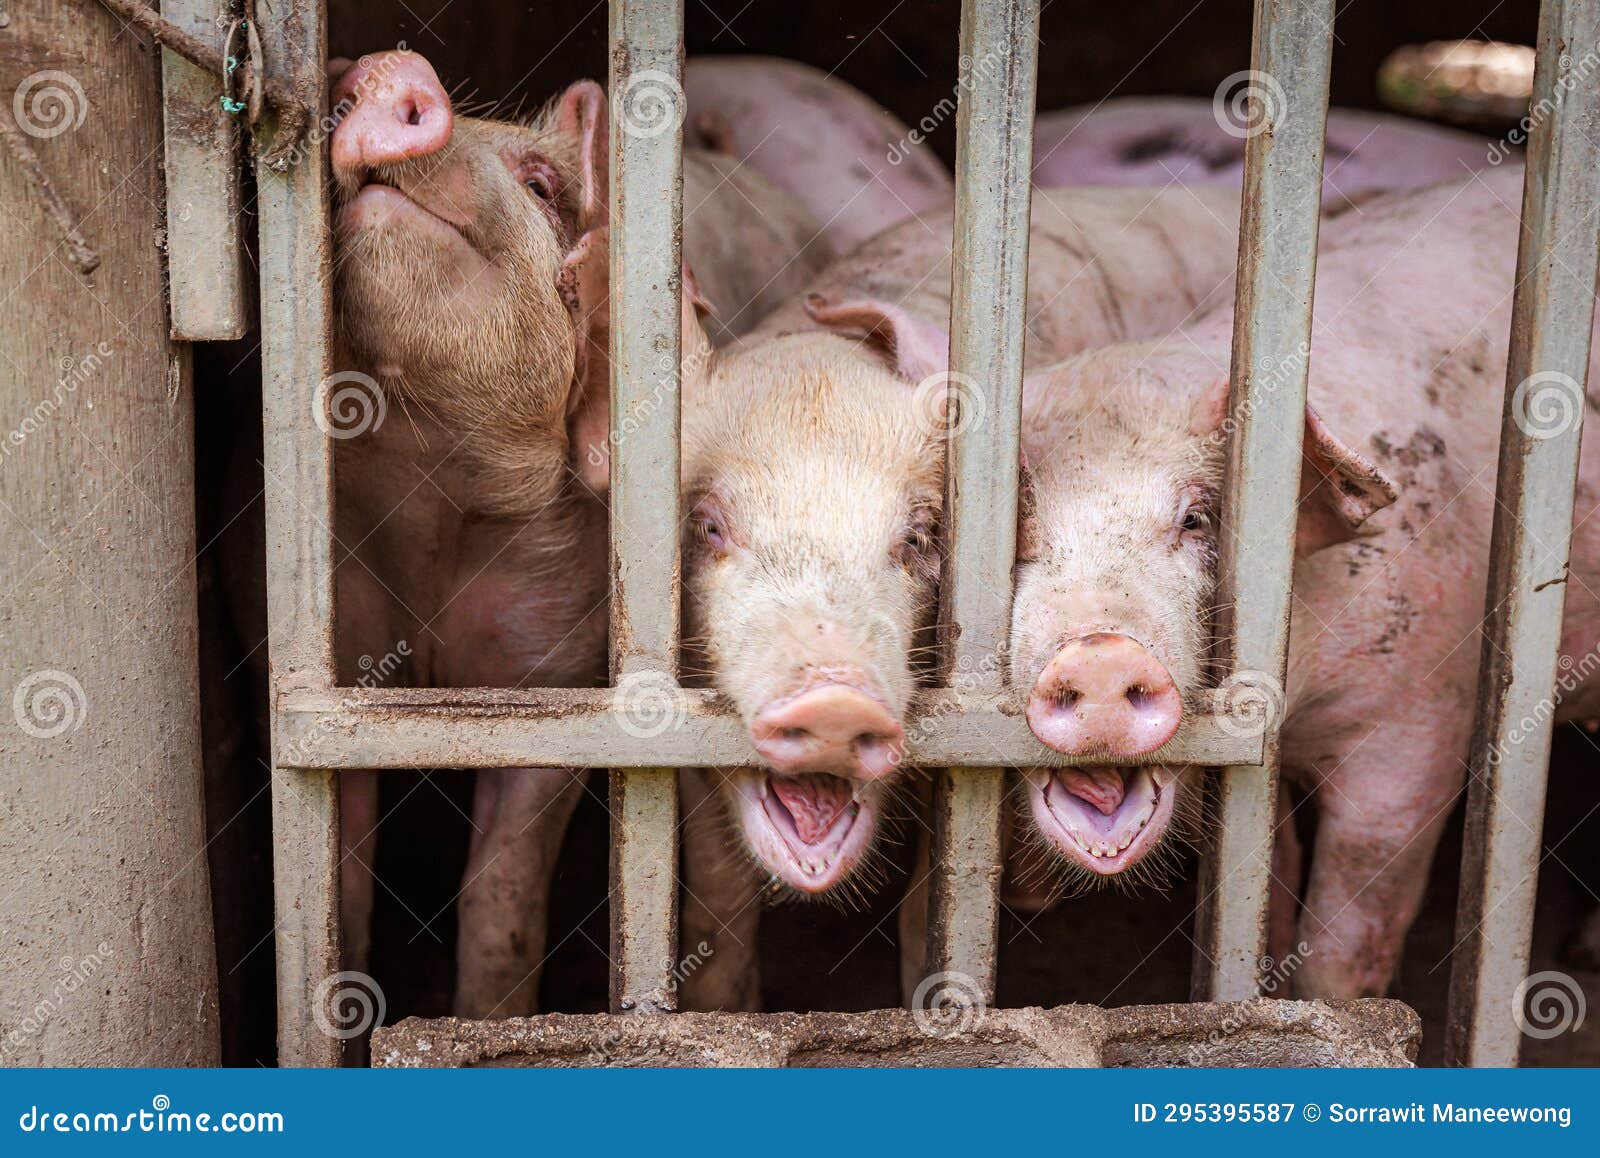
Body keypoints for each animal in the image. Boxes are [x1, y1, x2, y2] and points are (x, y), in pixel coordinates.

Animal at [236, 47, 948, 1022]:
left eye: (541, 186)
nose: (385, 69)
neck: (430, 500)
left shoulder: (562, 678)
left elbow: (501, 904)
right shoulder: (322, 683)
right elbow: (337, 889)